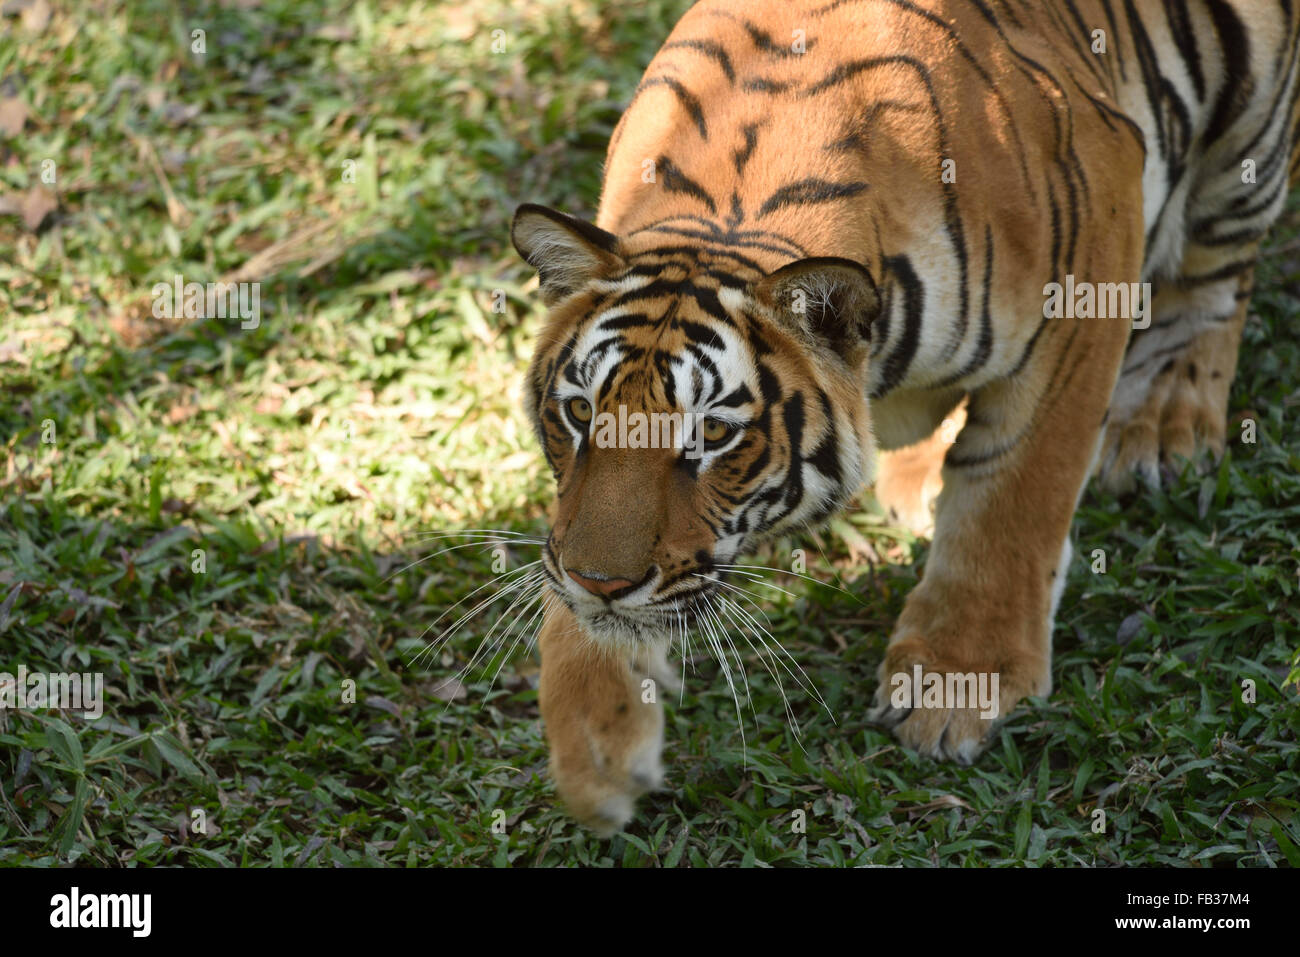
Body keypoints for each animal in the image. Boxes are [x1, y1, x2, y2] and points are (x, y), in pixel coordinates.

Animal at [509, 0, 1300, 835]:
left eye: (713, 434)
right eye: (579, 413)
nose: (601, 583)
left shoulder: (1091, 260)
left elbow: (1017, 496)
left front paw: (957, 684)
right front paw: (595, 742)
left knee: (1215, 274)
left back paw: (1164, 421)